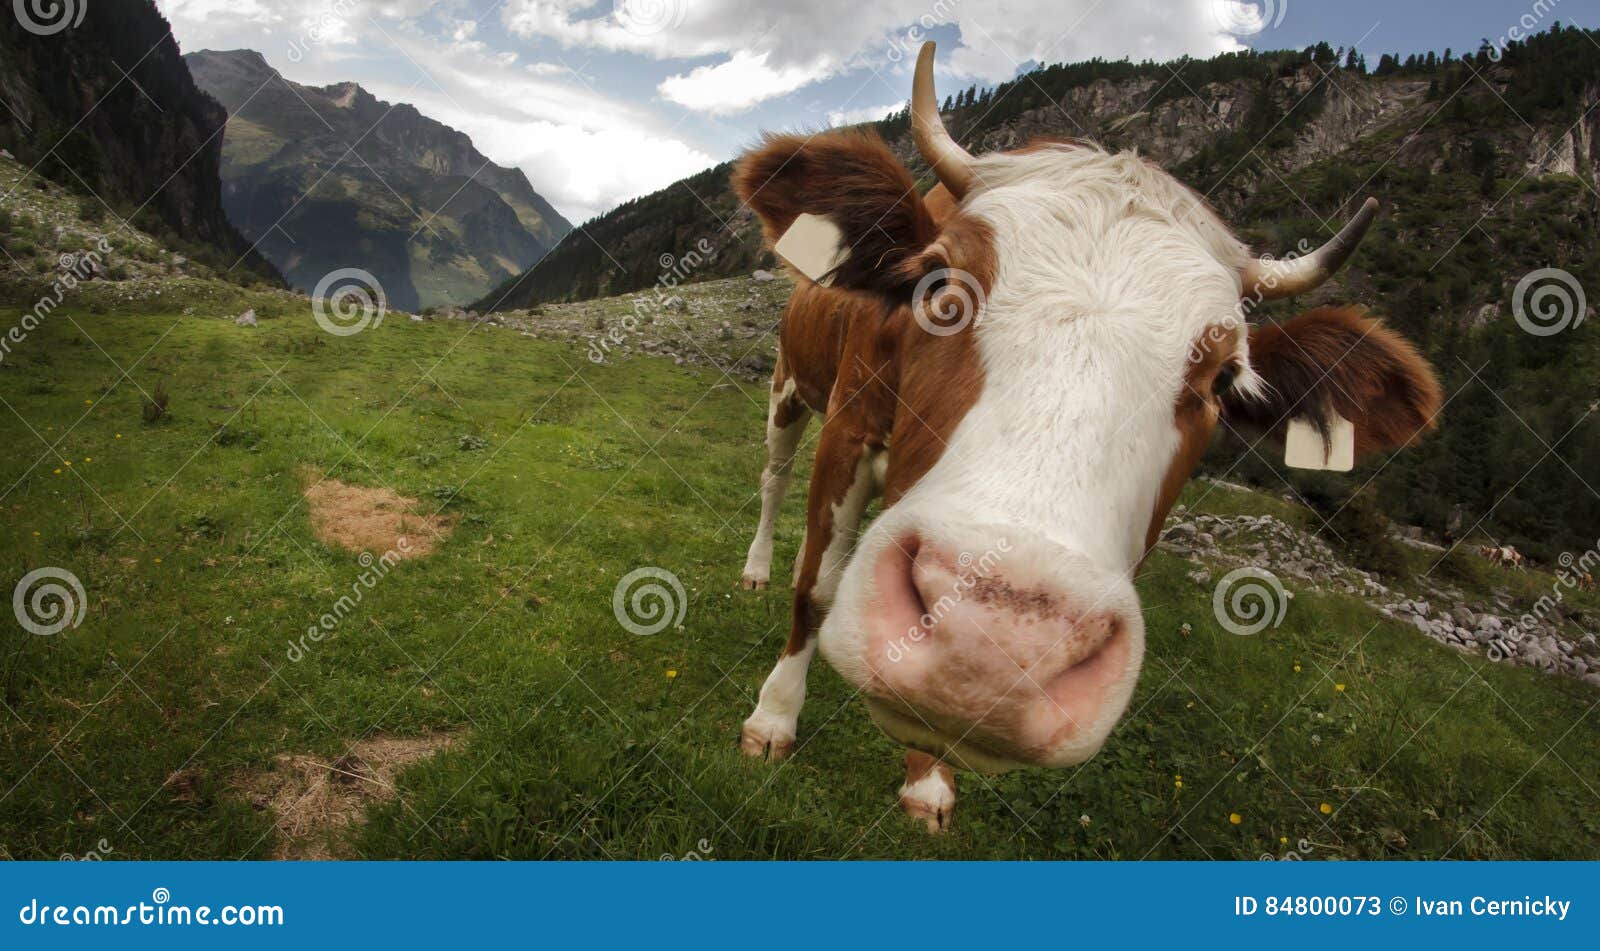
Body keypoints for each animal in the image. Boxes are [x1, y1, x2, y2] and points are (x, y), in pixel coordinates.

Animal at [732, 42, 1442, 832]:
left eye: (1226, 377)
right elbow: (816, 585)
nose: (995, 643)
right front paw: (773, 719)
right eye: (938, 286)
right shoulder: (849, 428)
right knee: (773, 480)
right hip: (790, 388)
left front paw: (929, 781)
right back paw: (756, 567)